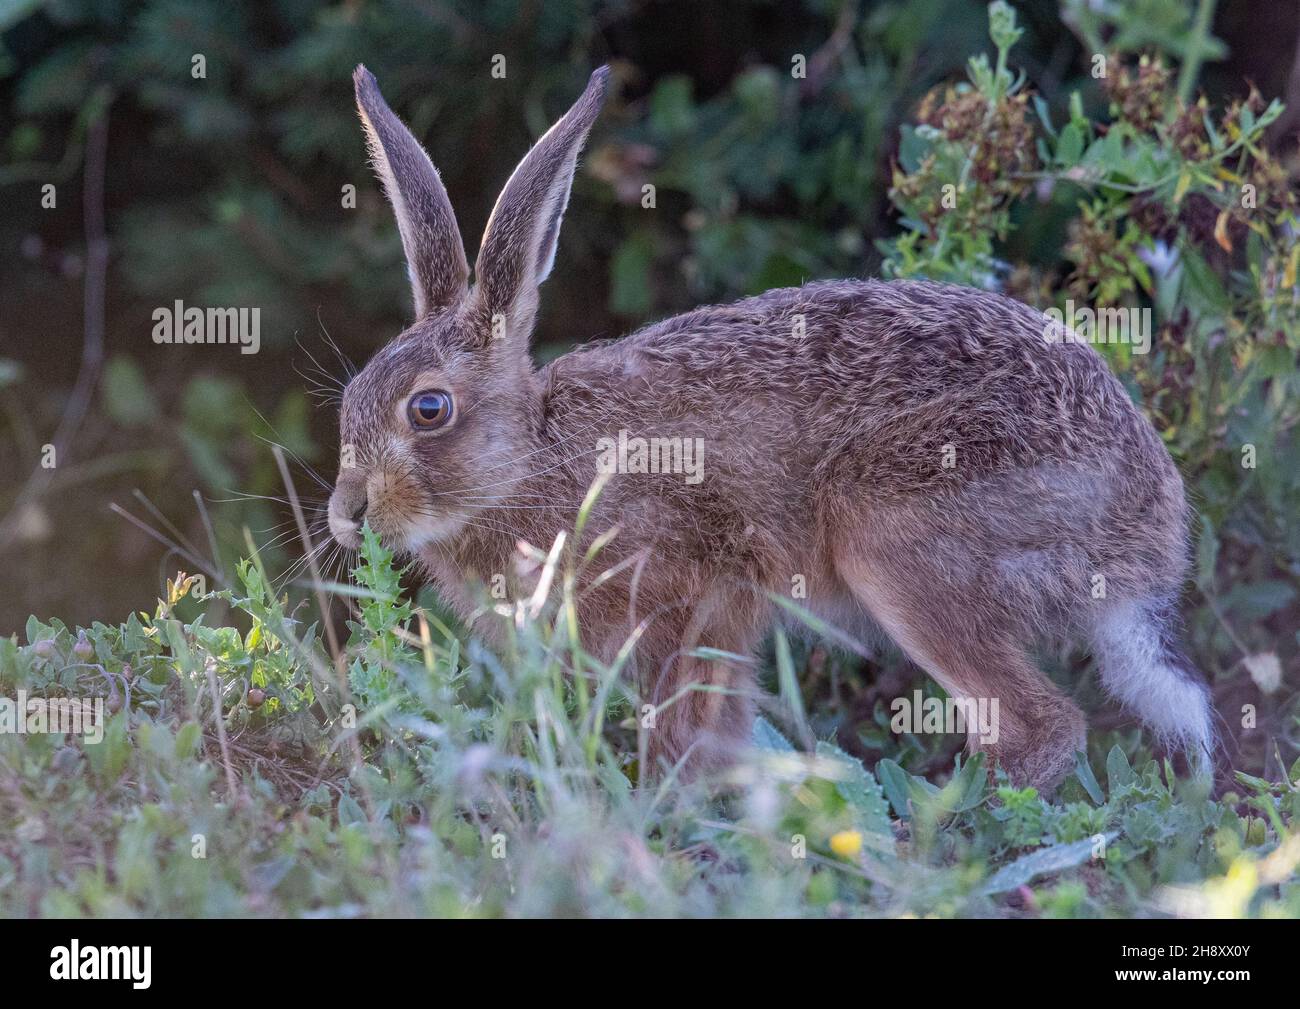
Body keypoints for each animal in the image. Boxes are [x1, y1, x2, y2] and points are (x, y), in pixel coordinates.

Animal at [327, 64, 1215, 791]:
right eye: (350, 401)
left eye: (429, 409)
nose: (347, 513)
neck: (531, 460)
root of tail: (1149, 536)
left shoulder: (692, 587)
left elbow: (687, 725)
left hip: (898, 529)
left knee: (1042, 724)